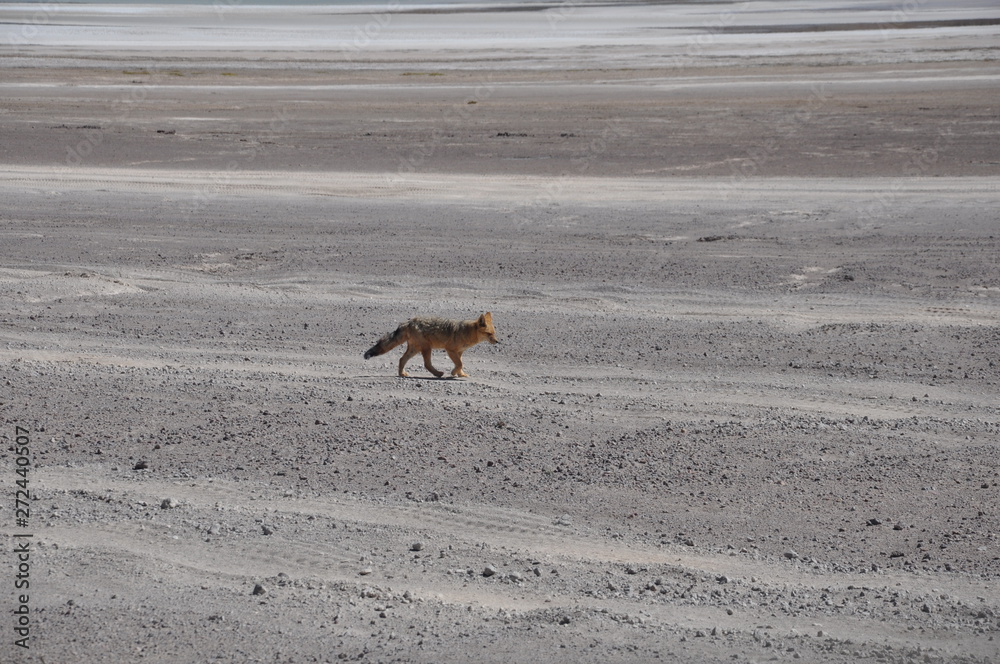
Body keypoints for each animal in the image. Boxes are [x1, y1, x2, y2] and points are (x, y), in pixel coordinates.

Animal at [363, 312, 498, 378]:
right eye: (489, 334)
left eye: (494, 333)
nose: (497, 342)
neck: (467, 331)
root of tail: (408, 321)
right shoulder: (450, 350)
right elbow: (460, 364)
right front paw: (453, 373)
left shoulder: (459, 352)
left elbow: (460, 364)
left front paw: (461, 374)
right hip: (426, 348)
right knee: (426, 364)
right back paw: (438, 374)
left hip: (415, 349)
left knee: (402, 359)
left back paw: (402, 374)